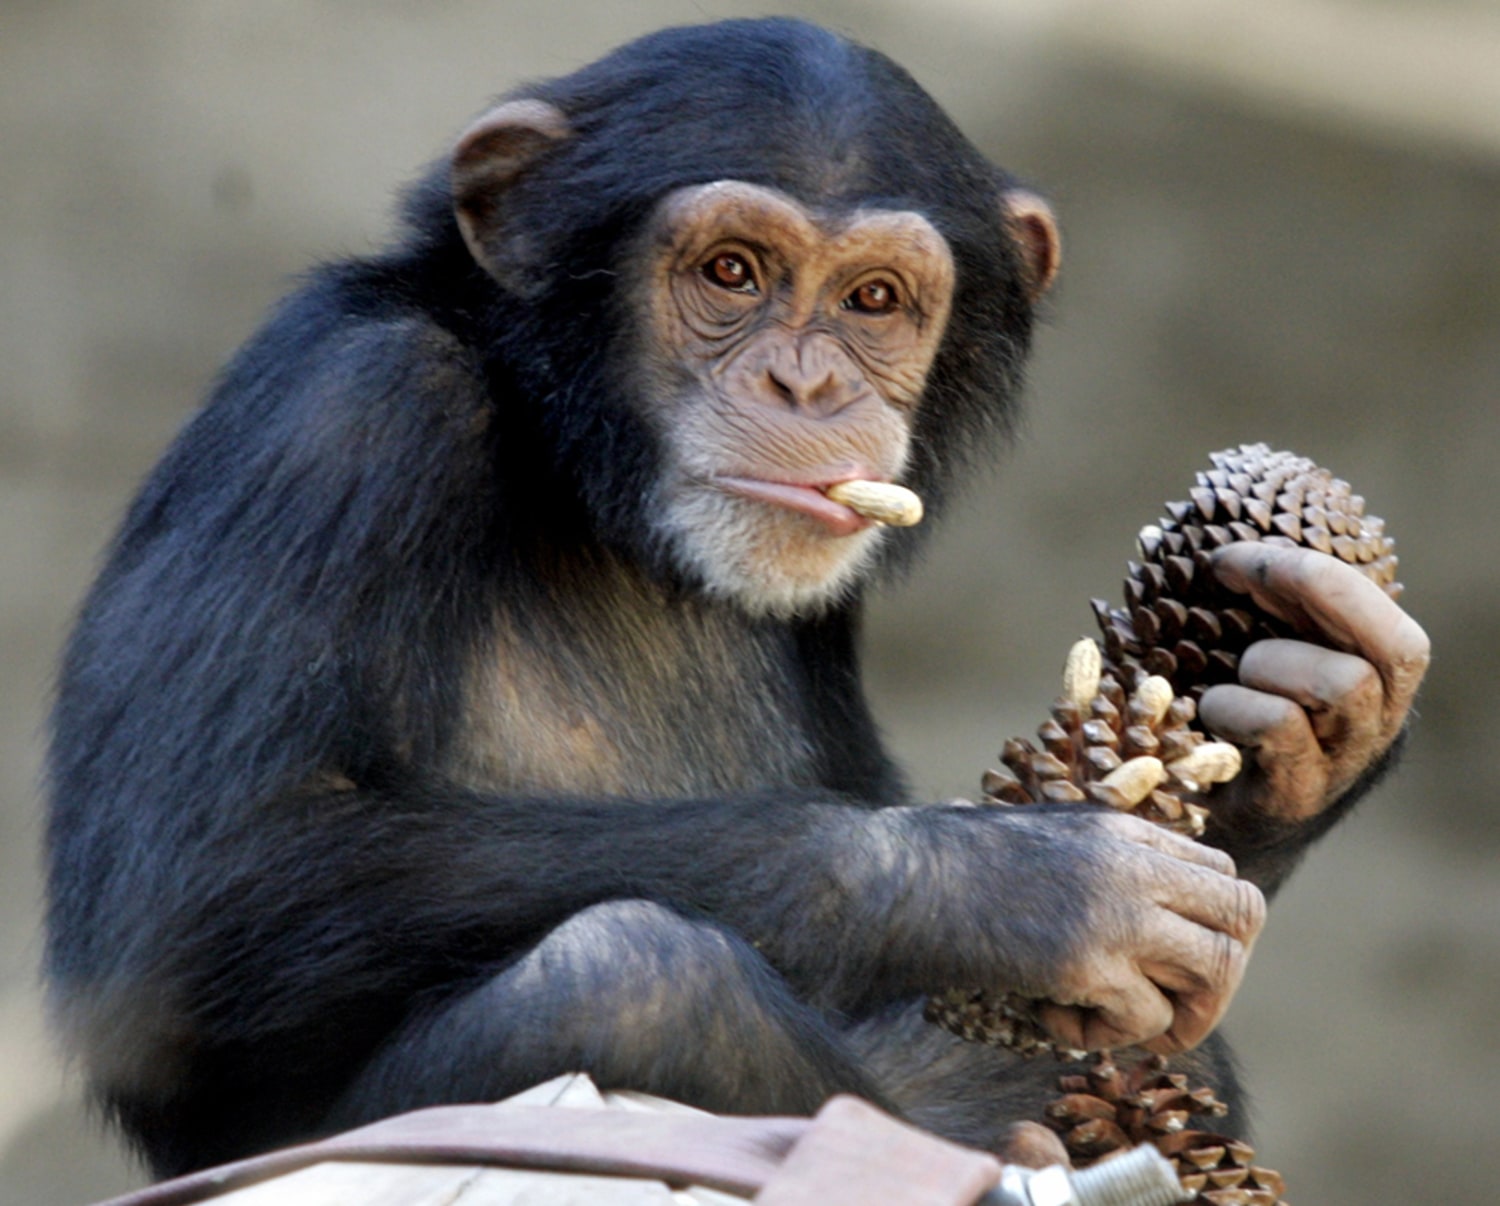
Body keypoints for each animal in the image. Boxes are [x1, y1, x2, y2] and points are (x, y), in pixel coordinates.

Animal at [44, 18, 1429, 1180]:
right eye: (730, 271)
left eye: (874, 299)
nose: (806, 384)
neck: (588, 485)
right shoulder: (339, 416)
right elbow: (190, 898)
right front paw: (1011, 889)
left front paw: (1300, 732)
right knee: (632, 981)